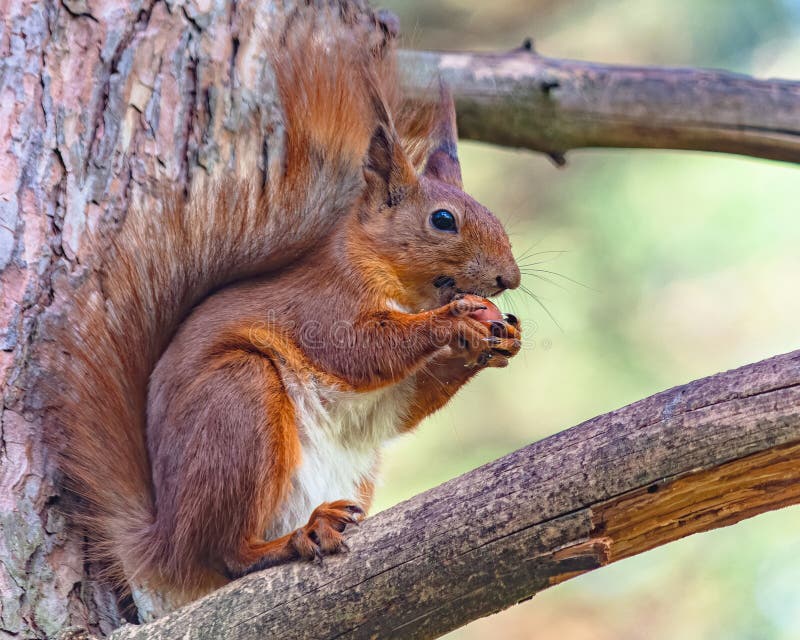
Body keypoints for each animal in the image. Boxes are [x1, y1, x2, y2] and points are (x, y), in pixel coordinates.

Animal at [48, 12, 522, 603]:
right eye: (442, 220)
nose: (510, 278)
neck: (398, 288)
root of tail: (167, 544)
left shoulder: (392, 395)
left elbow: (409, 400)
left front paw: (498, 340)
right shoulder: (320, 305)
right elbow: (358, 350)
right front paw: (452, 322)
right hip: (239, 403)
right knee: (228, 553)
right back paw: (299, 536)